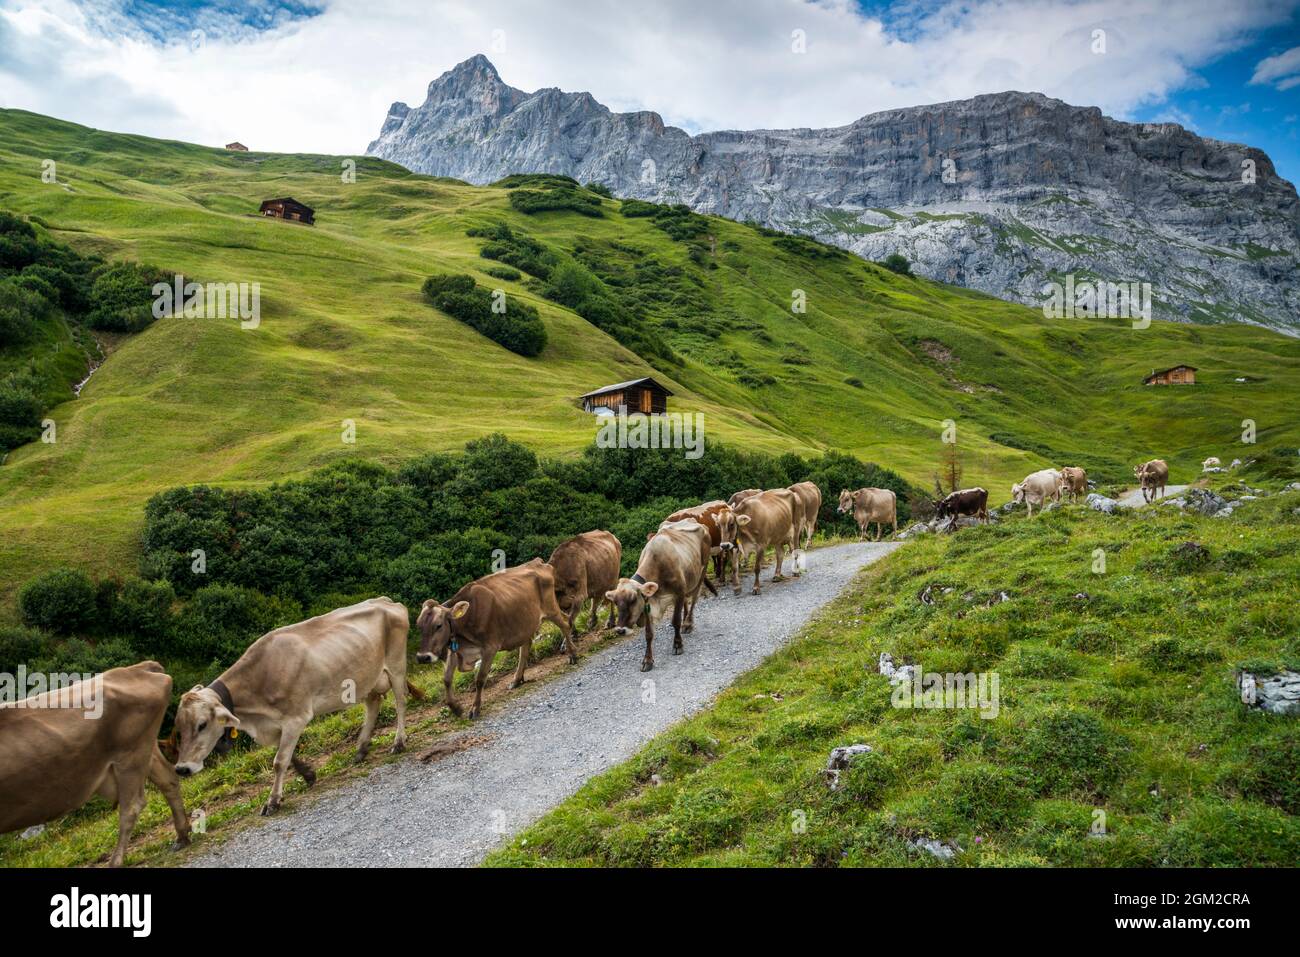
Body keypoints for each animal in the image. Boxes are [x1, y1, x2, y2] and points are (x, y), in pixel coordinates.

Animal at [1, 661, 190, 867]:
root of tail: (134, 669)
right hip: (146, 748)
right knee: (168, 780)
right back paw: (182, 835)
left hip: (130, 756)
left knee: (132, 807)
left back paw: (115, 860)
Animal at [173, 597, 416, 816]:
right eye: (179, 727)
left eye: (202, 724)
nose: (182, 768)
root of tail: (385, 601)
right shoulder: (275, 725)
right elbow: (287, 756)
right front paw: (308, 774)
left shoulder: (296, 717)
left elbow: (279, 761)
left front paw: (272, 801)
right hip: (365, 678)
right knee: (374, 704)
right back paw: (361, 749)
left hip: (395, 666)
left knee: (400, 702)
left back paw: (398, 742)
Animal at [416, 560, 575, 720]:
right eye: (418, 626)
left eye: (438, 625)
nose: (423, 657)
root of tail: (537, 562)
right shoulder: (455, 650)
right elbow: (447, 680)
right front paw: (456, 708)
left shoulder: (490, 648)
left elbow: (480, 679)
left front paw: (475, 708)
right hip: (525, 623)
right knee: (527, 646)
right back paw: (517, 680)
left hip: (551, 609)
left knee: (565, 624)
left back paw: (572, 655)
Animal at [605, 519, 715, 671]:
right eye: (615, 602)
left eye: (633, 599)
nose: (620, 630)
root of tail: (693, 520)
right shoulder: (648, 603)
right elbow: (649, 633)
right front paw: (647, 660)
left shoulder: (678, 592)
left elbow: (675, 620)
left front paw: (677, 644)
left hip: (701, 572)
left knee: (693, 599)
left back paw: (687, 623)